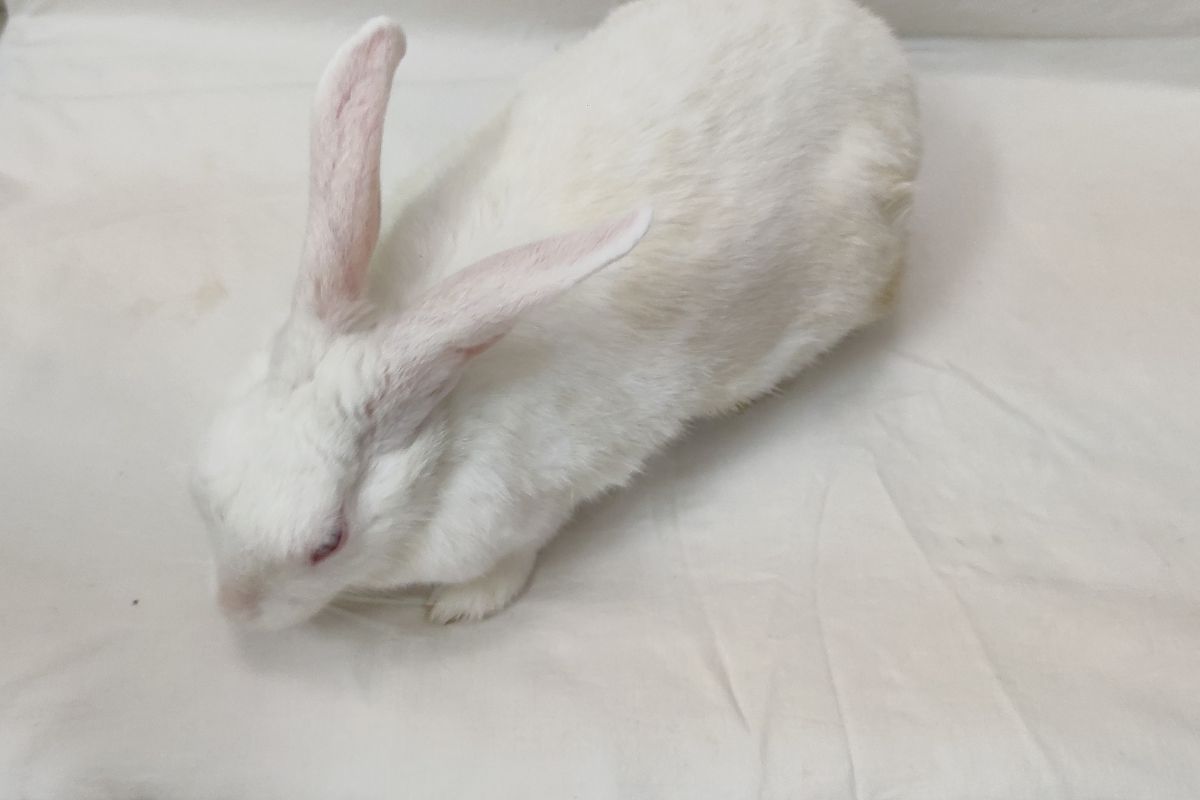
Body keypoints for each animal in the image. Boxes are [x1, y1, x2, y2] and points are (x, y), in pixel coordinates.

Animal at [191, 0, 920, 630]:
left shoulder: (534, 509)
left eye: (328, 542)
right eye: (207, 496)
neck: (447, 413)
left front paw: (460, 607)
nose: (234, 611)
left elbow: (511, 562)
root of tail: (878, 45)